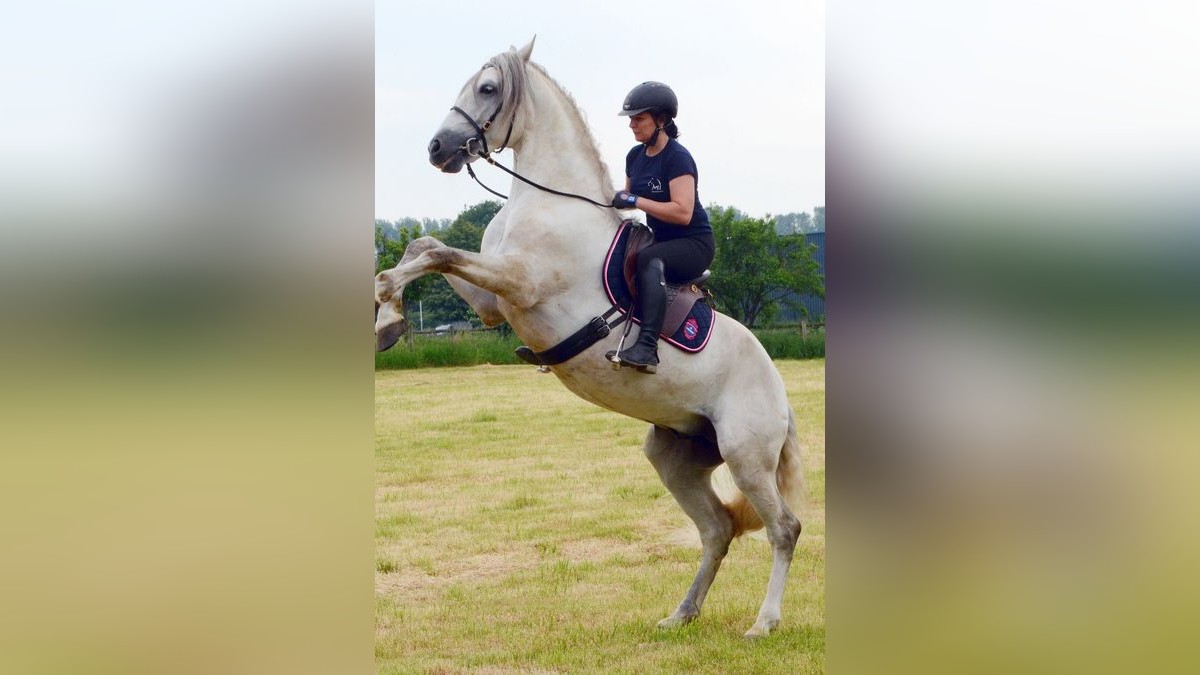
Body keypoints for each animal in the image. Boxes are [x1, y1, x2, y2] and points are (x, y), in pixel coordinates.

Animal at [375, 38, 806, 639]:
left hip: (747, 454)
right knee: (717, 529)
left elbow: (436, 254)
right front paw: (388, 319)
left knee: (783, 529)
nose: (438, 148)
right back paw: (681, 613)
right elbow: (426, 248)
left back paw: (763, 623)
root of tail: (782, 397)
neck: (550, 201)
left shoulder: (519, 282)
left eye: (488, 88)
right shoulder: (492, 303)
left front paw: (383, 304)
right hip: (677, 455)